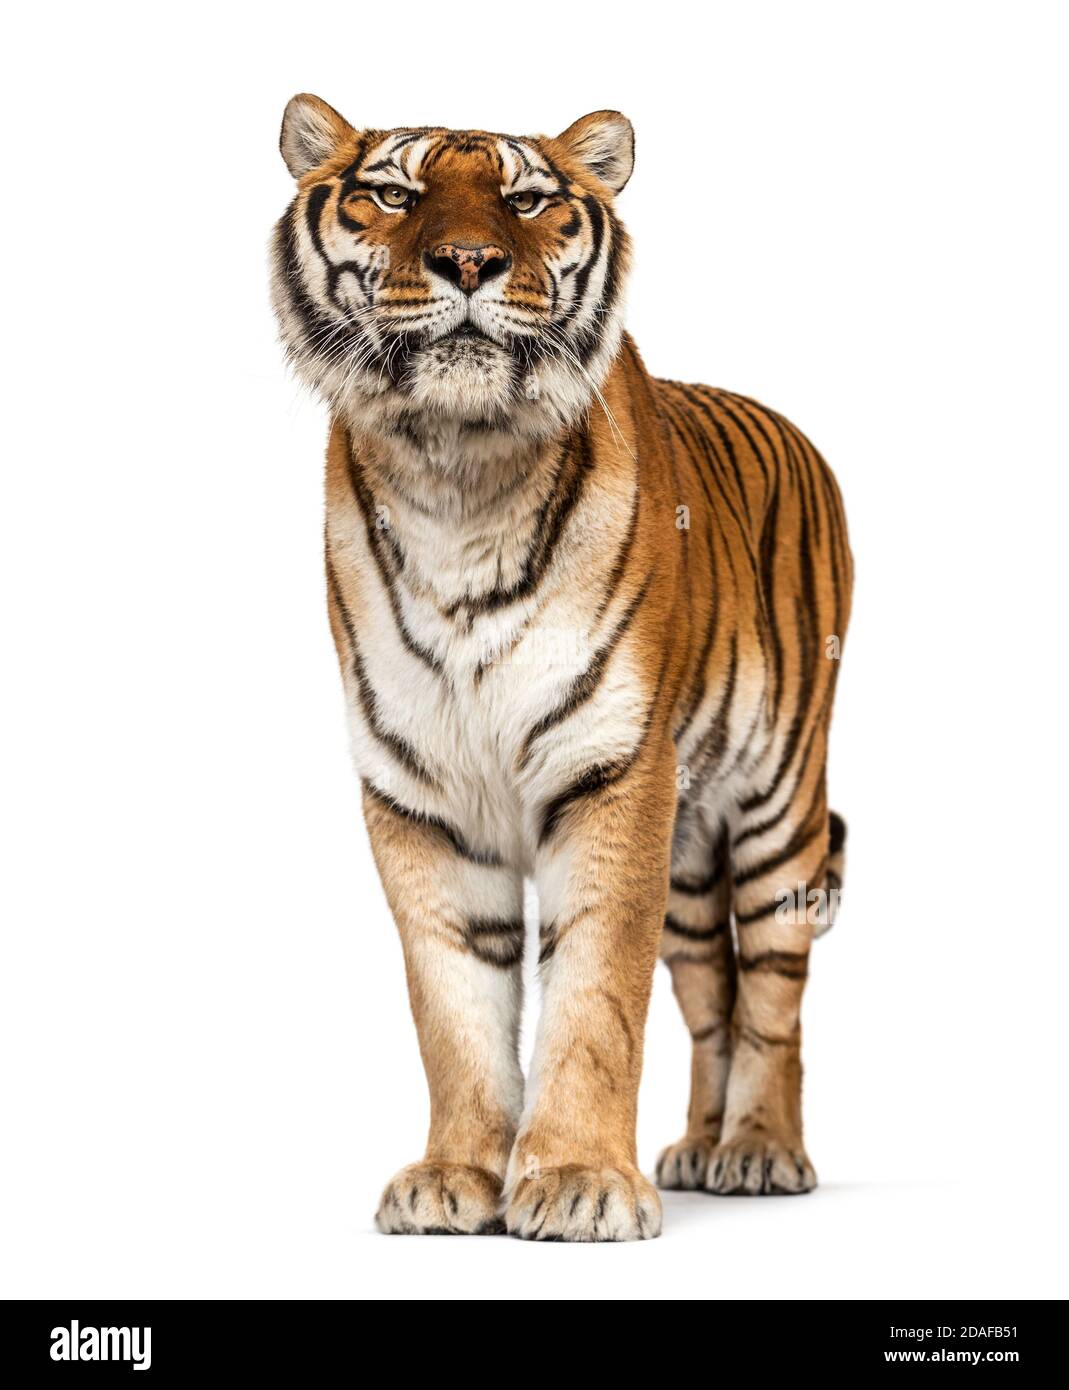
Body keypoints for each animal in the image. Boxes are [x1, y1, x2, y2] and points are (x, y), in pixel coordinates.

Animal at [271, 93, 852, 1242]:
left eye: (528, 199)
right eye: (392, 193)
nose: (467, 260)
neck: (455, 476)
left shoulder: (613, 769)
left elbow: (594, 992)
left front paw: (581, 1182)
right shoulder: (418, 791)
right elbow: (453, 1003)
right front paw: (454, 1177)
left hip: (778, 809)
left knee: (771, 992)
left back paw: (761, 1151)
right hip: (690, 856)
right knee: (711, 991)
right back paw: (697, 1152)